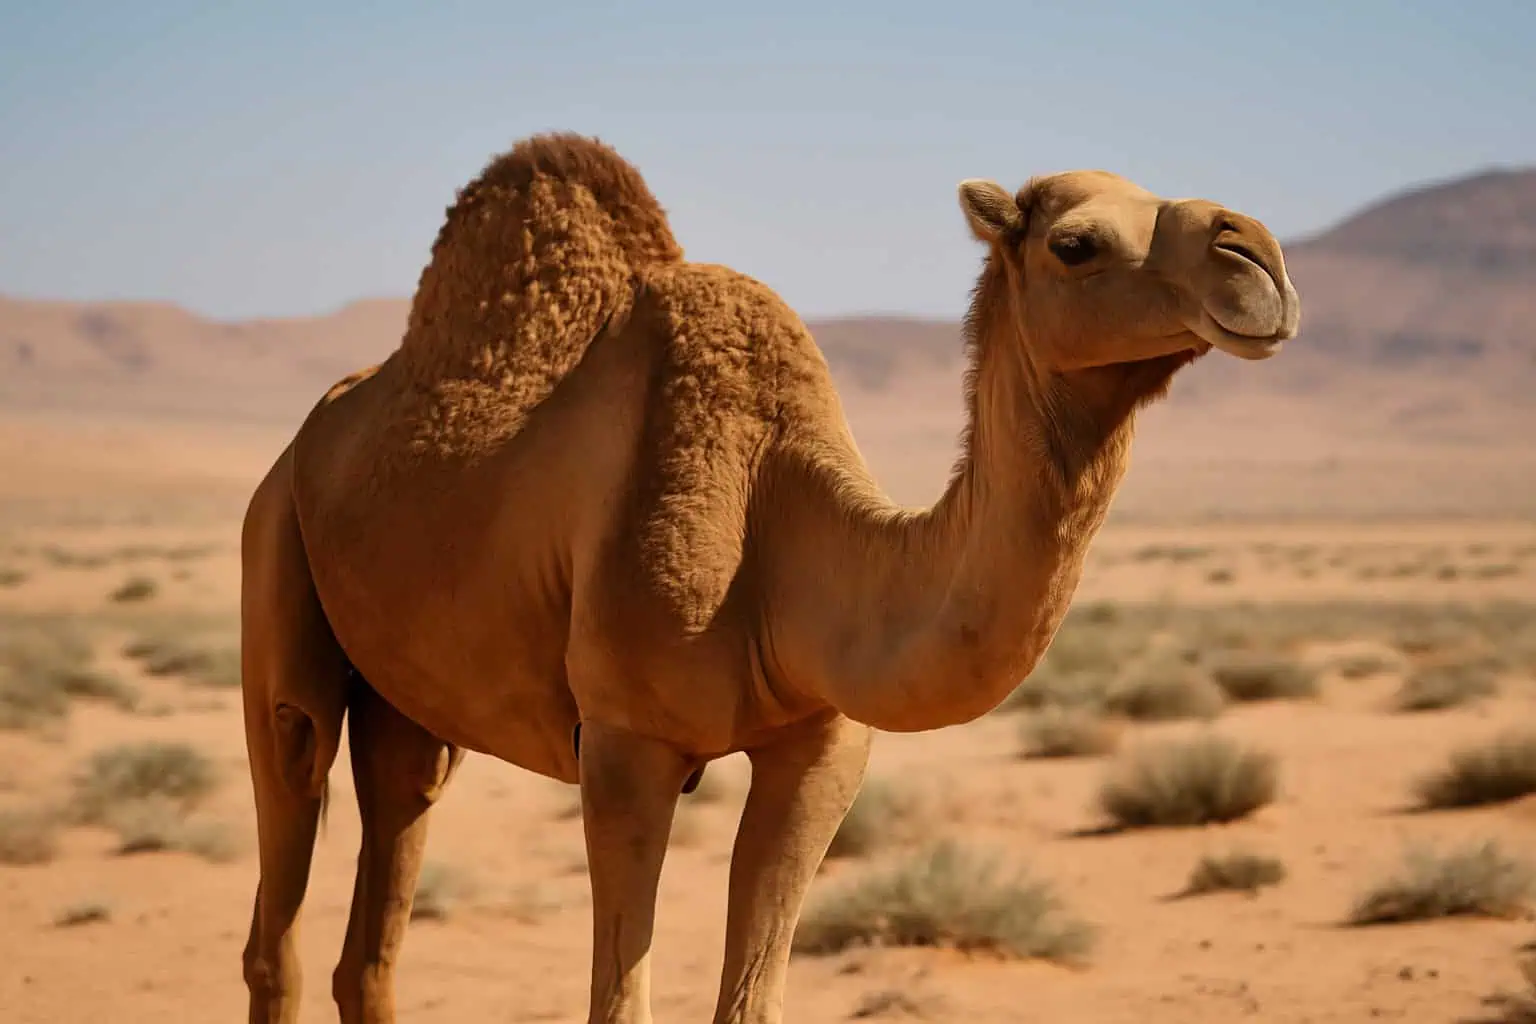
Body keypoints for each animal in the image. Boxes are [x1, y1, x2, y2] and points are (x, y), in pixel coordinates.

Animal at [238, 132, 1300, 1023]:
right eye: (1076, 244)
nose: (1257, 255)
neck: (777, 525)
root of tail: (312, 431)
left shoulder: (823, 743)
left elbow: (752, 998)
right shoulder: (624, 740)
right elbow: (619, 1003)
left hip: (407, 701)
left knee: (381, 894)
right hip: (274, 549)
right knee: (284, 850)